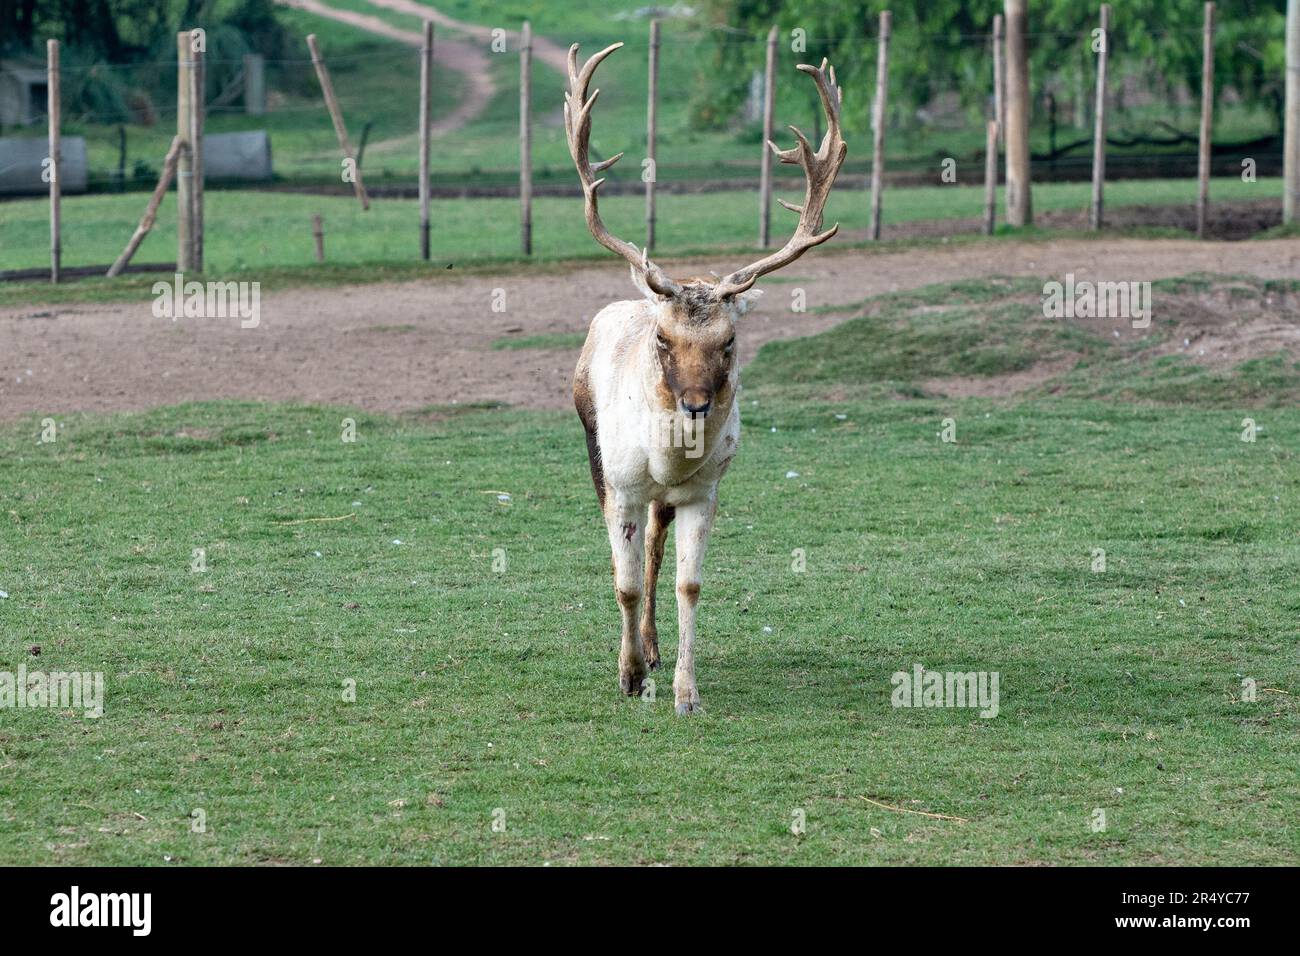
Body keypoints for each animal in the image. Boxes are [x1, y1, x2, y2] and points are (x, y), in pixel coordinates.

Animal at [565, 41, 846, 714]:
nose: (694, 404)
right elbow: (622, 582)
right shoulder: (621, 482)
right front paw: (628, 676)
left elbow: (687, 583)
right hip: (595, 454)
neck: (667, 461)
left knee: (656, 547)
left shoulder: (705, 490)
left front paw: (684, 691)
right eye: (663, 339)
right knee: (634, 558)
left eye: (729, 342)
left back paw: (656, 648)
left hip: (668, 499)